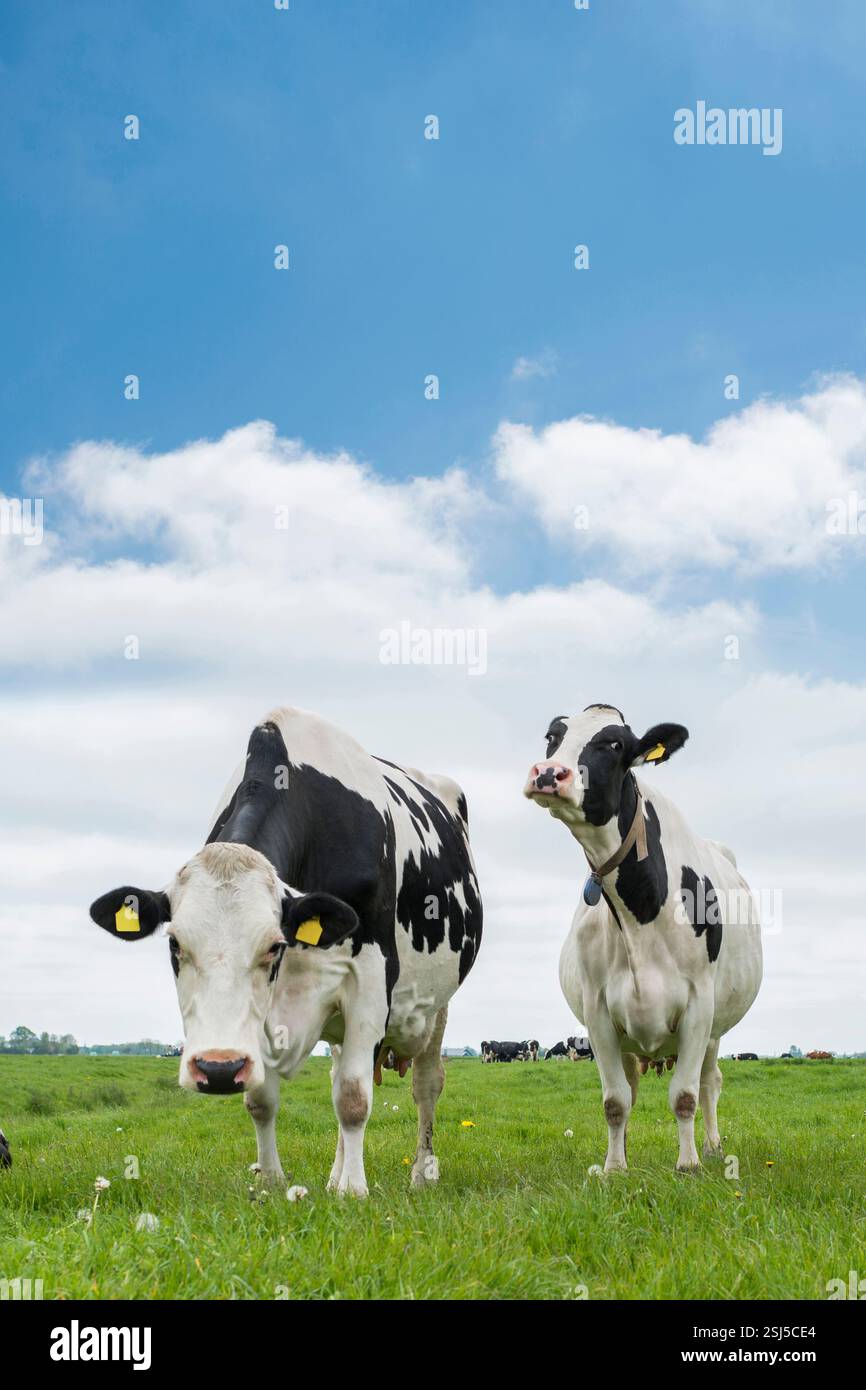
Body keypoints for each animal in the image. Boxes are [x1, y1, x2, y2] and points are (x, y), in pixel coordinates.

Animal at [89, 707, 482, 1197]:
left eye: (274, 945)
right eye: (175, 943)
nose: (217, 1069)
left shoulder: (370, 983)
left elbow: (354, 1098)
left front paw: (354, 1191)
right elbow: (262, 1098)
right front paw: (274, 1181)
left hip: (434, 1008)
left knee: (426, 1084)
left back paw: (421, 1174)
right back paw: (334, 1176)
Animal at [524, 703, 762, 1173]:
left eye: (615, 744)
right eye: (552, 737)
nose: (548, 773)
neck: (643, 911)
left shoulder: (698, 1008)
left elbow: (685, 1095)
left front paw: (688, 1165)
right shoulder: (598, 1013)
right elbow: (616, 1101)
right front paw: (615, 1168)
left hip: (715, 1031)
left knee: (710, 1082)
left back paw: (712, 1147)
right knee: (632, 1088)